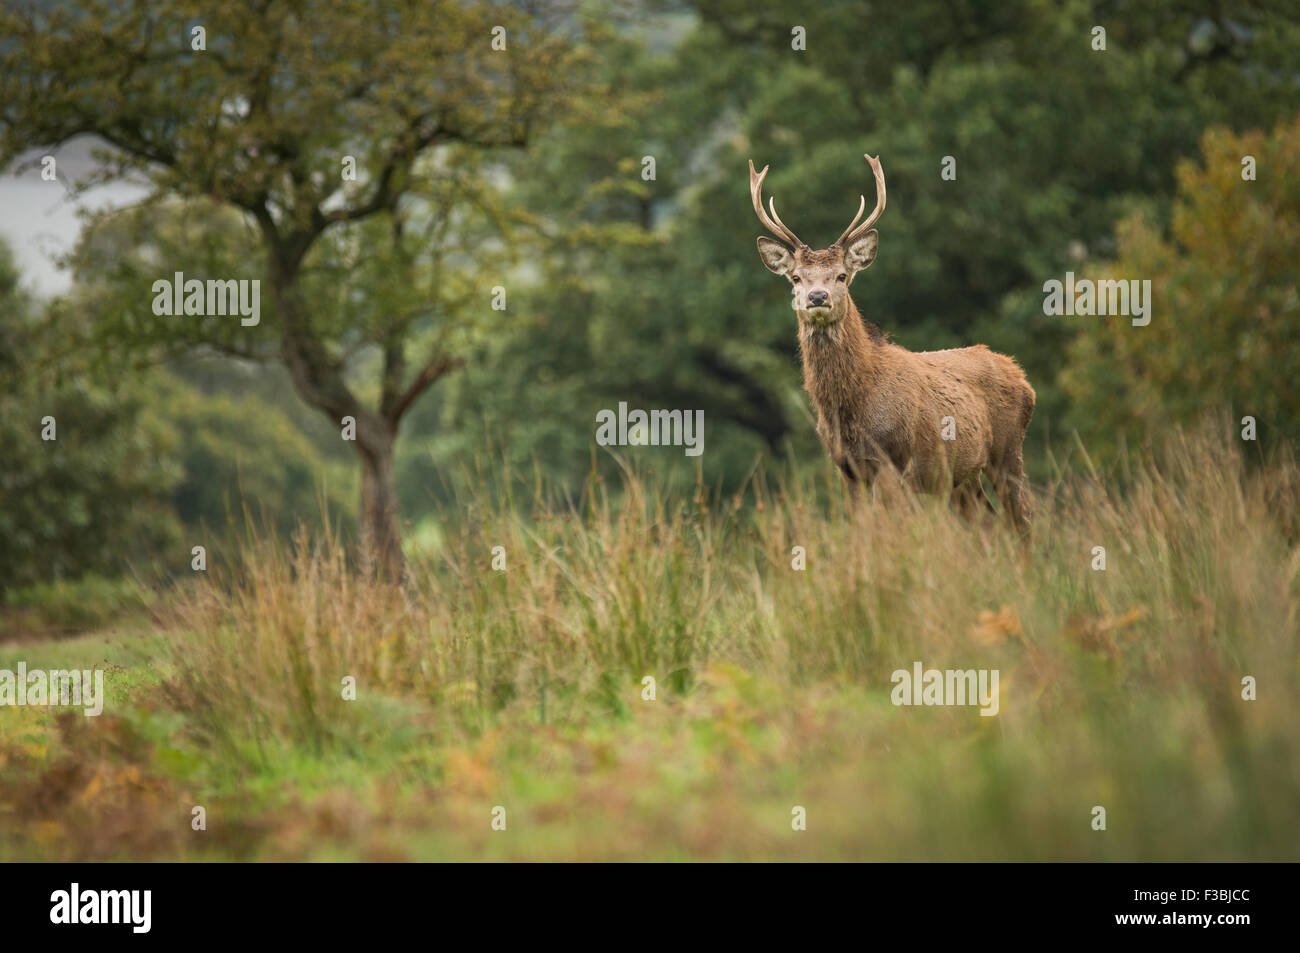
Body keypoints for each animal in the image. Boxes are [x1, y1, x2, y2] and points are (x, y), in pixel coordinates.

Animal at [749, 152, 1035, 534]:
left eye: (842, 275)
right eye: (796, 277)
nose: (817, 296)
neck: (853, 403)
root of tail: (1023, 377)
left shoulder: (894, 460)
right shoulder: (847, 469)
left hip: (1008, 450)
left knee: (1024, 517)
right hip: (962, 476)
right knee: (987, 520)